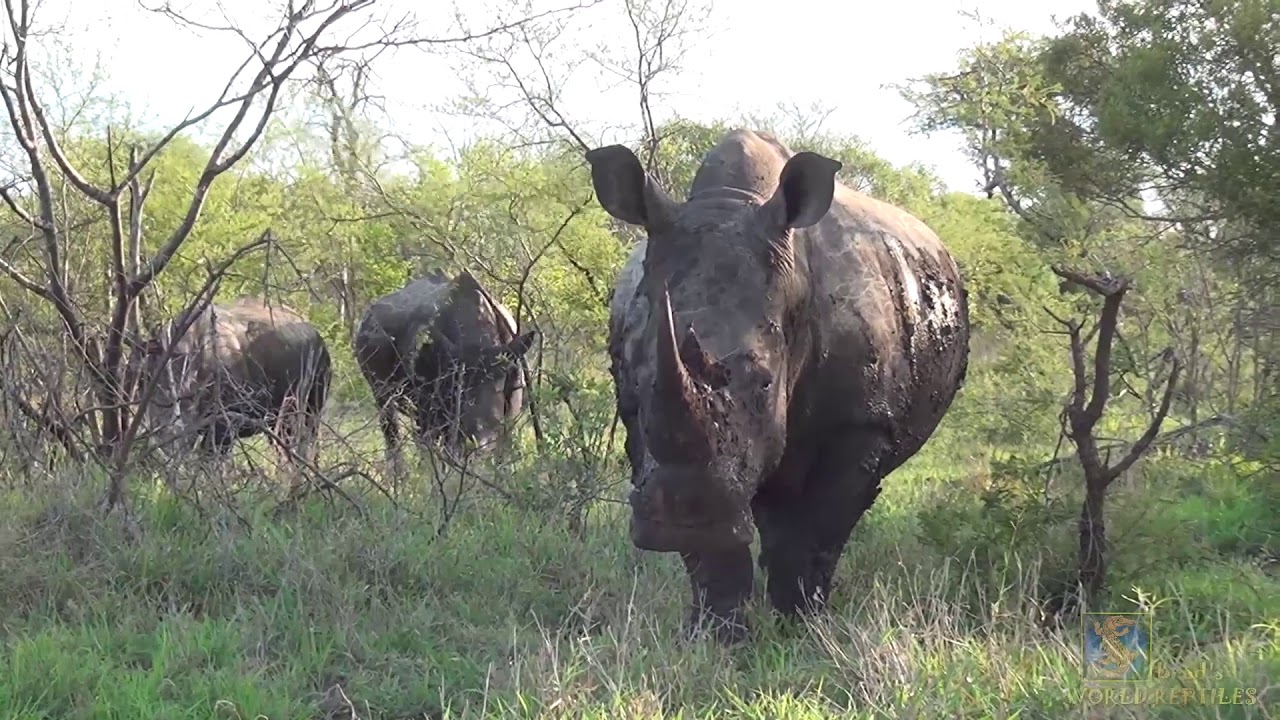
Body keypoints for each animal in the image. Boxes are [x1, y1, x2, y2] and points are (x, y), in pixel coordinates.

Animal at [353, 269, 537, 466]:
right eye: (459, 384)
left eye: (500, 377)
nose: (480, 442)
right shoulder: (429, 413)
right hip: (381, 395)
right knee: (394, 437)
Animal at [588, 129, 970, 642]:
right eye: (641, 375)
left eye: (766, 383)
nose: (678, 523)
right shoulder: (636, 419)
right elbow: (716, 554)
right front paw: (717, 638)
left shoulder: (862, 421)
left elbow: (820, 531)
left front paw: (801, 627)